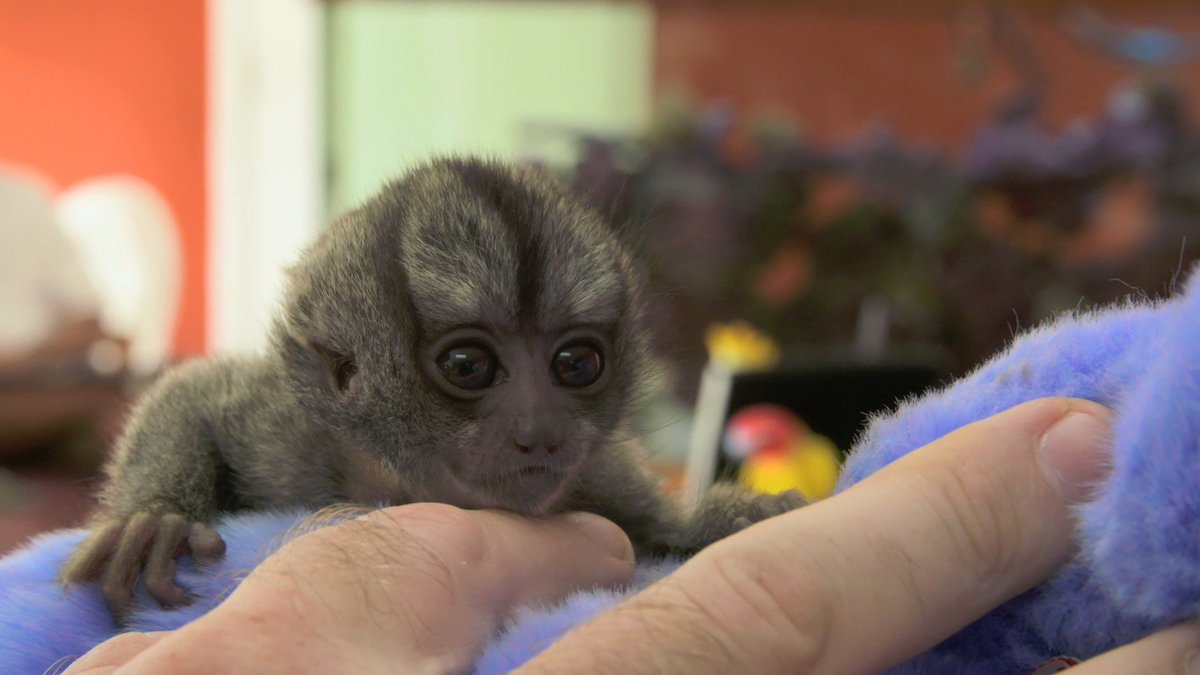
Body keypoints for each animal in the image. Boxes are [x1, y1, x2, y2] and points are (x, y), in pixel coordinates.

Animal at [60, 157, 806, 620]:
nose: (541, 430)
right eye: (469, 366)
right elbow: (195, 392)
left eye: (575, 363)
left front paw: (724, 520)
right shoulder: (295, 432)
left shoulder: (599, 478)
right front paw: (154, 519)